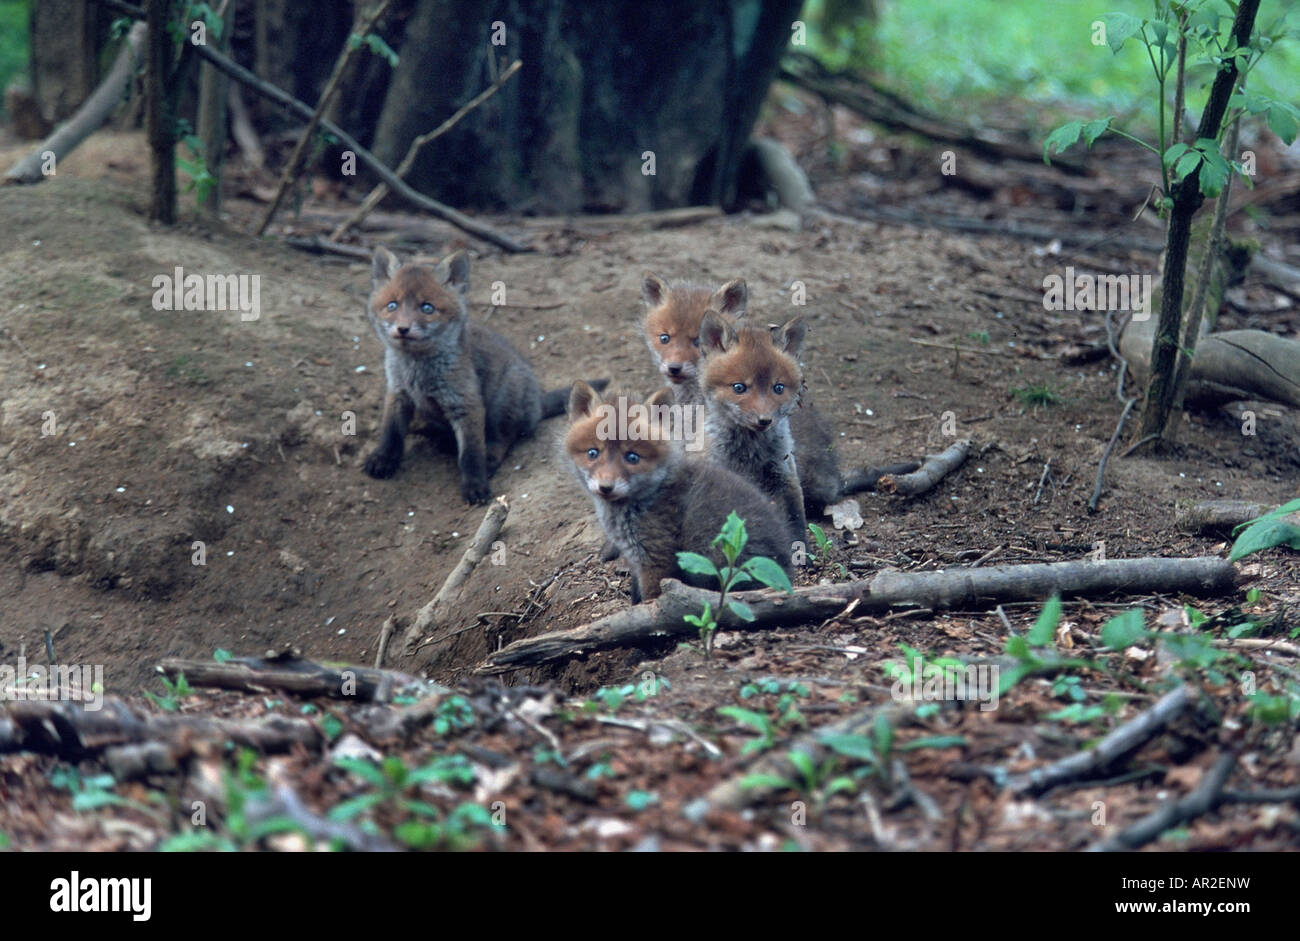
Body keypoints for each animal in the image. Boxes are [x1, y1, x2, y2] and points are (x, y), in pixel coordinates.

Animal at [364, 246, 599, 504]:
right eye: (392, 306)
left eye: (427, 308)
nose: (403, 329)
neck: (417, 371)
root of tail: (537, 401)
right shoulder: (398, 393)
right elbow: (391, 432)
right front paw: (382, 459)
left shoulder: (466, 403)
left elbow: (471, 453)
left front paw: (475, 485)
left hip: (501, 404)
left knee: (503, 439)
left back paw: (488, 459)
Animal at [565, 382, 793, 604]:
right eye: (592, 453)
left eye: (632, 457)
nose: (606, 487)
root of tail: (786, 571)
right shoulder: (634, 558)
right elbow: (636, 594)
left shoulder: (656, 558)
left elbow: (651, 599)